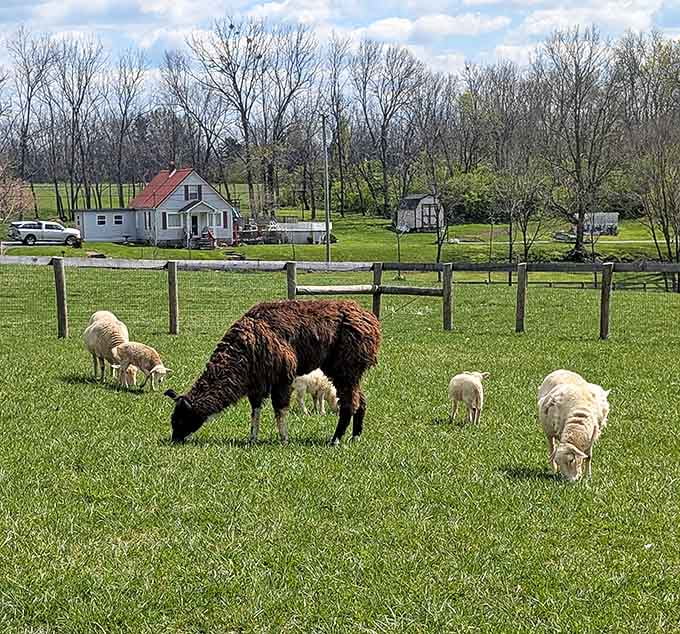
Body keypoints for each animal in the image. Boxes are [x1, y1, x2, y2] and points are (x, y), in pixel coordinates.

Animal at [164, 299, 381, 446]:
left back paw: (335, 440)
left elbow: (280, 409)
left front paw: (283, 439)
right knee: (360, 400)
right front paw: (252, 439)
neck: (243, 352)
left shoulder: (282, 375)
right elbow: (255, 410)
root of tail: (371, 320)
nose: (175, 439)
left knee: (349, 403)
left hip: (346, 367)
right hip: (344, 370)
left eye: (180, 419)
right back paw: (355, 437)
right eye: (173, 420)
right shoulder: (256, 381)